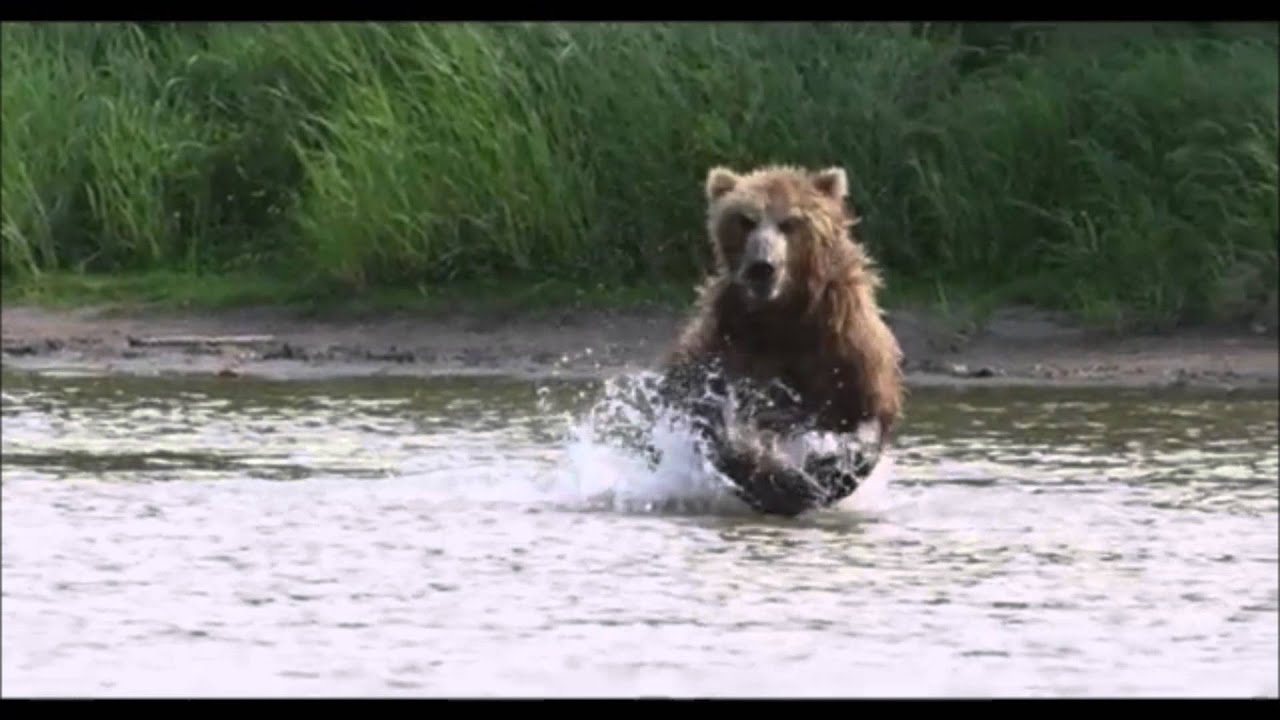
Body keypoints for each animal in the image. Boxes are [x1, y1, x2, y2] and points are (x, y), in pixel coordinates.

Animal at [653, 163, 905, 517]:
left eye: (789, 222)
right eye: (746, 219)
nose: (762, 267)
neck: (784, 317)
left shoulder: (846, 346)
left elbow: (865, 414)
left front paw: (826, 468)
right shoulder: (732, 347)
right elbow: (718, 419)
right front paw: (776, 478)